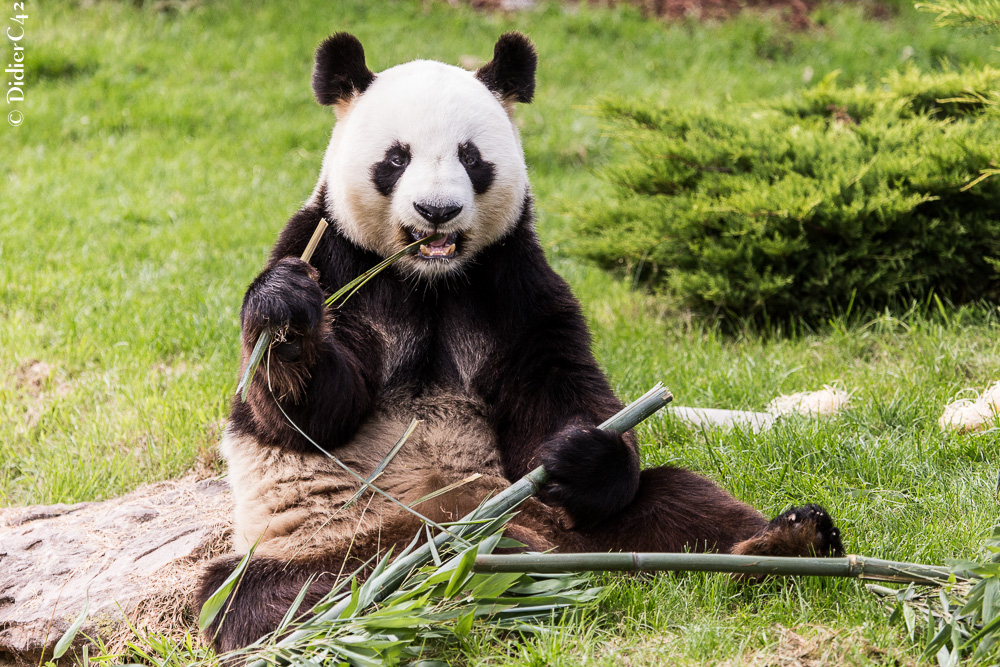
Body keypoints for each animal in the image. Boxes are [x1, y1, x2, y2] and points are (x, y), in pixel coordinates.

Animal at [197, 32, 844, 652]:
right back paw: (439, 589)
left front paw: (577, 453)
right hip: (333, 541)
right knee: (270, 593)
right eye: (396, 158)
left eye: (471, 157)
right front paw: (287, 320)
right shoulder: (335, 255)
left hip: (571, 518)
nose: (437, 210)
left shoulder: (512, 281)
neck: (428, 280)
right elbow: (309, 414)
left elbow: (555, 385)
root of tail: (544, 551)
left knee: (676, 501)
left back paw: (787, 542)